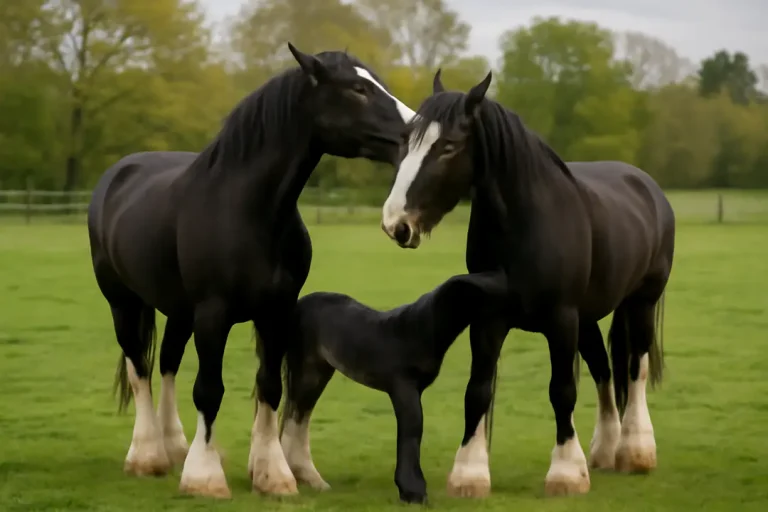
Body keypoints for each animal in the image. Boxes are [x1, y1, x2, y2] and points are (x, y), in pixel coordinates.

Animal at [87, 42, 415, 499]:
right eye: (357, 89)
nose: (416, 131)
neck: (249, 210)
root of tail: (116, 175)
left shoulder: (276, 311)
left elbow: (270, 386)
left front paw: (272, 474)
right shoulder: (213, 314)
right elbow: (209, 390)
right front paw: (205, 478)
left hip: (178, 310)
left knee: (167, 363)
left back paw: (175, 447)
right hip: (123, 302)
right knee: (140, 368)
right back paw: (148, 456)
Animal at [279, 271, 508, 504]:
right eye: (484, 294)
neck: (419, 330)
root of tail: (299, 304)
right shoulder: (403, 388)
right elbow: (412, 429)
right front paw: (413, 492)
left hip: (320, 371)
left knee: (299, 413)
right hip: (307, 369)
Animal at [379, 69, 675, 498]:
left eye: (449, 146)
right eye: (406, 140)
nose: (396, 224)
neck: (526, 222)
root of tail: (647, 185)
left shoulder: (562, 320)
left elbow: (562, 390)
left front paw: (565, 473)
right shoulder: (487, 317)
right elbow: (478, 389)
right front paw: (469, 473)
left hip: (640, 303)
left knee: (635, 368)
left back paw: (635, 451)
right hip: (588, 318)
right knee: (604, 370)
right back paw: (604, 450)